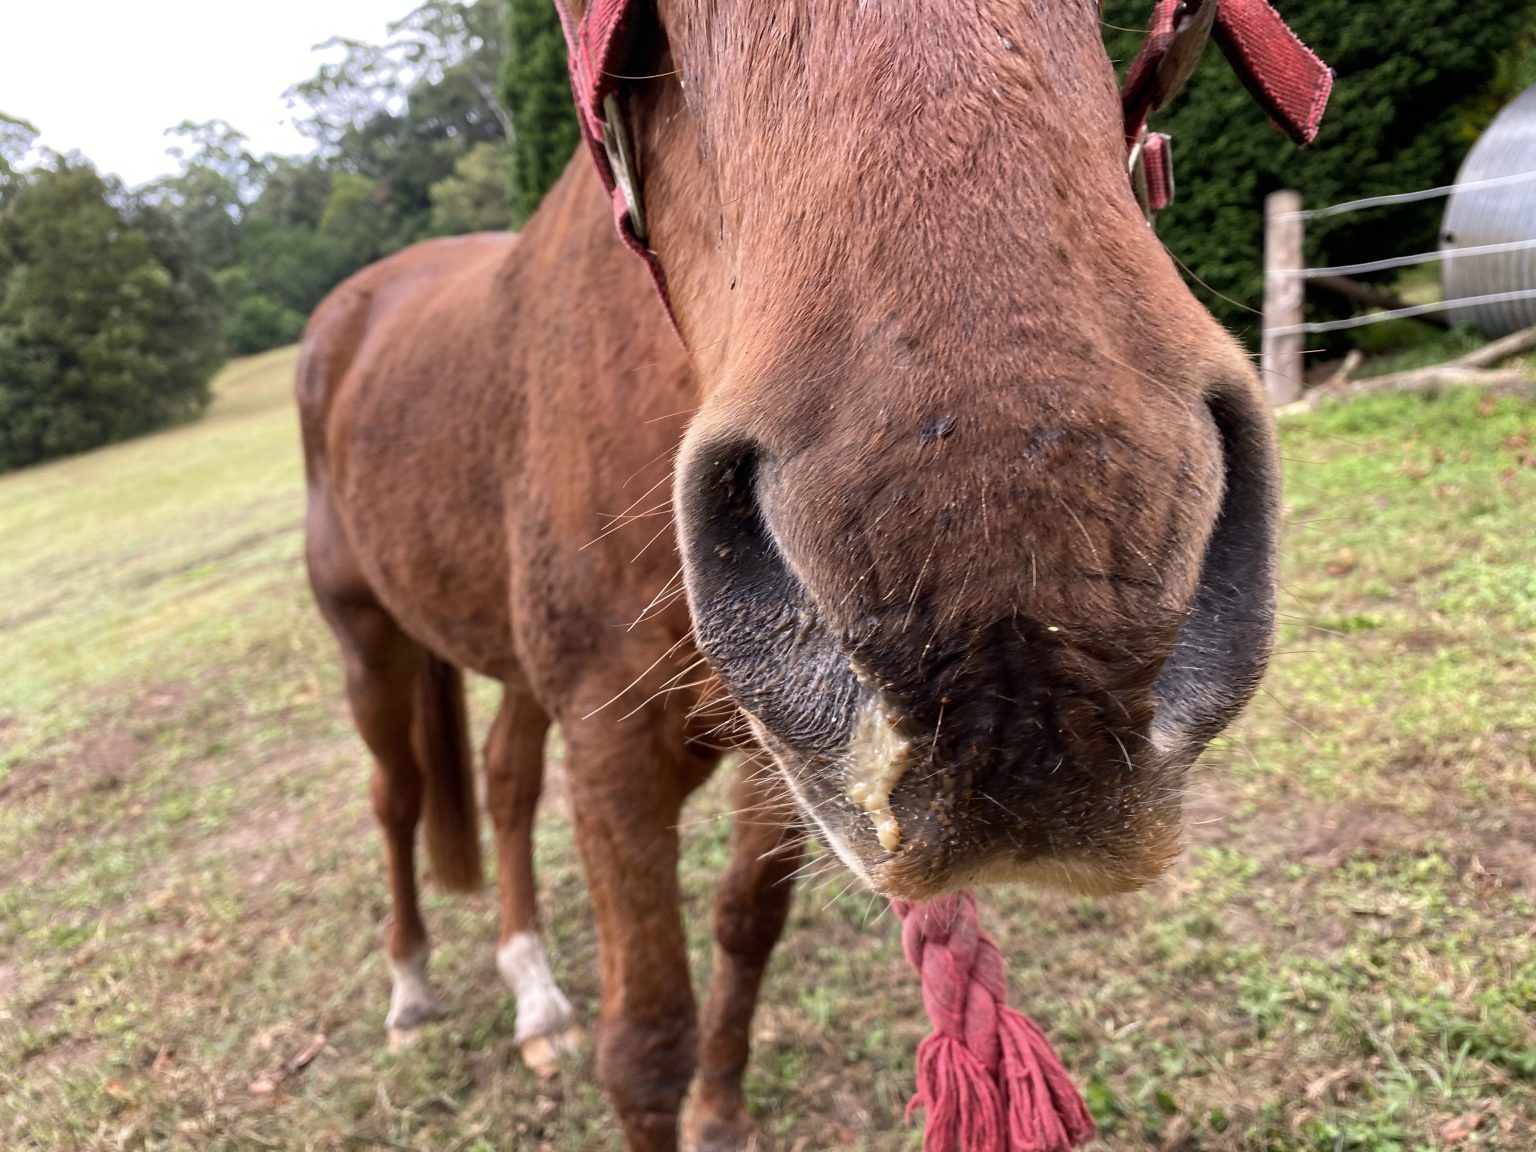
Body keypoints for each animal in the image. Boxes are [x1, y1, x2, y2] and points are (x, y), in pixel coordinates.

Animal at [299, 1, 1296, 1148]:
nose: (1016, 615)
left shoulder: (787, 761)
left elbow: (746, 925)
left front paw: (722, 1112)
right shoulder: (610, 753)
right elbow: (645, 1046)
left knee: (504, 782)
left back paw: (534, 993)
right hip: (367, 640)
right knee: (396, 797)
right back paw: (411, 987)